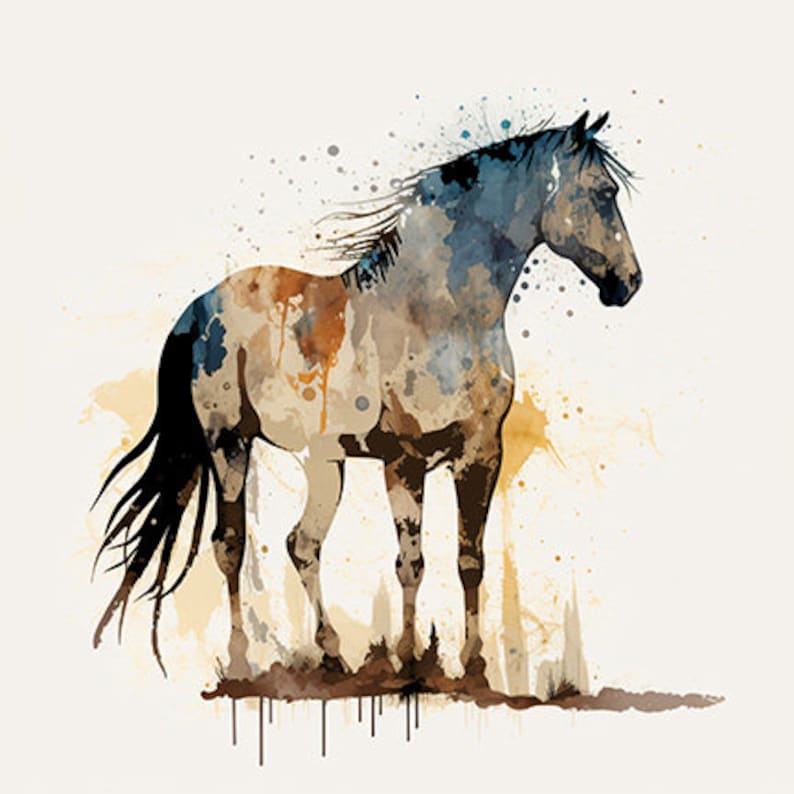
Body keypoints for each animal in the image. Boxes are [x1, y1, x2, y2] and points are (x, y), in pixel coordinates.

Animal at [92, 110, 642, 679]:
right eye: (603, 192)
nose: (629, 282)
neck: (439, 314)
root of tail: (198, 309)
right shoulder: (404, 460)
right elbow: (411, 562)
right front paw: (409, 659)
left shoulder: (482, 453)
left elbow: (470, 560)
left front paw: (474, 663)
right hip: (230, 445)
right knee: (231, 545)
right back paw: (242, 659)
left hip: (323, 462)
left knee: (302, 544)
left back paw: (332, 653)